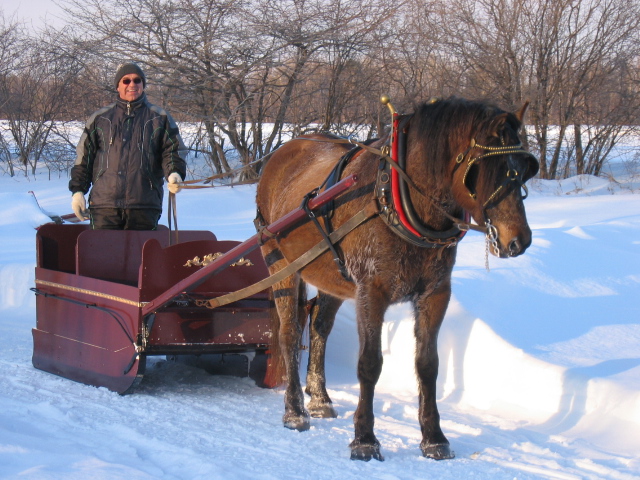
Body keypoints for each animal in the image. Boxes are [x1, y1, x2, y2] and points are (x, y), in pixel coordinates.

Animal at [255, 96, 539, 461]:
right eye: (484, 171)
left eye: (525, 167)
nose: (519, 240)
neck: (398, 199)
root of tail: (283, 152)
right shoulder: (371, 292)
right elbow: (370, 364)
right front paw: (364, 439)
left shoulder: (435, 293)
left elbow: (427, 364)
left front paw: (434, 438)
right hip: (280, 263)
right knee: (289, 333)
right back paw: (295, 411)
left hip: (332, 275)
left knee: (319, 326)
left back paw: (319, 399)